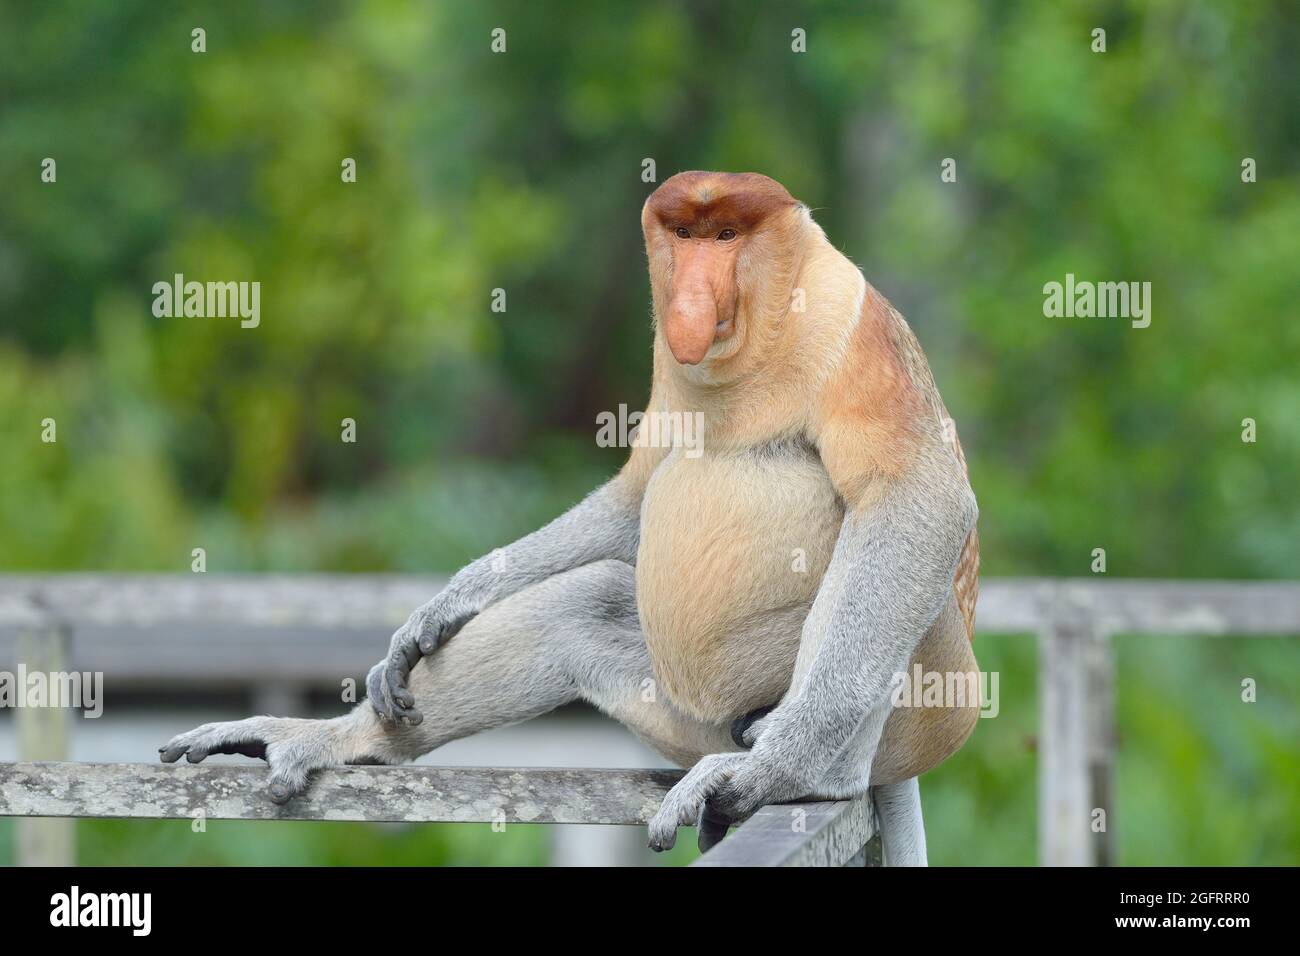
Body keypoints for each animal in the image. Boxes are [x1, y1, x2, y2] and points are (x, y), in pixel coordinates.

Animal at [161, 171, 981, 865]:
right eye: (683, 234)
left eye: (726, 237)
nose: (690, 294)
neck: (759, 345)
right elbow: (637, 493)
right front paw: (444, 606)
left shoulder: (849, 326)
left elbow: (918, 499)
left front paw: (776, 768)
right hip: (680, 713)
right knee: (581, 605)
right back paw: (329, 741)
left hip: (925, 699)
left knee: (891, 560)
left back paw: (802, 770)